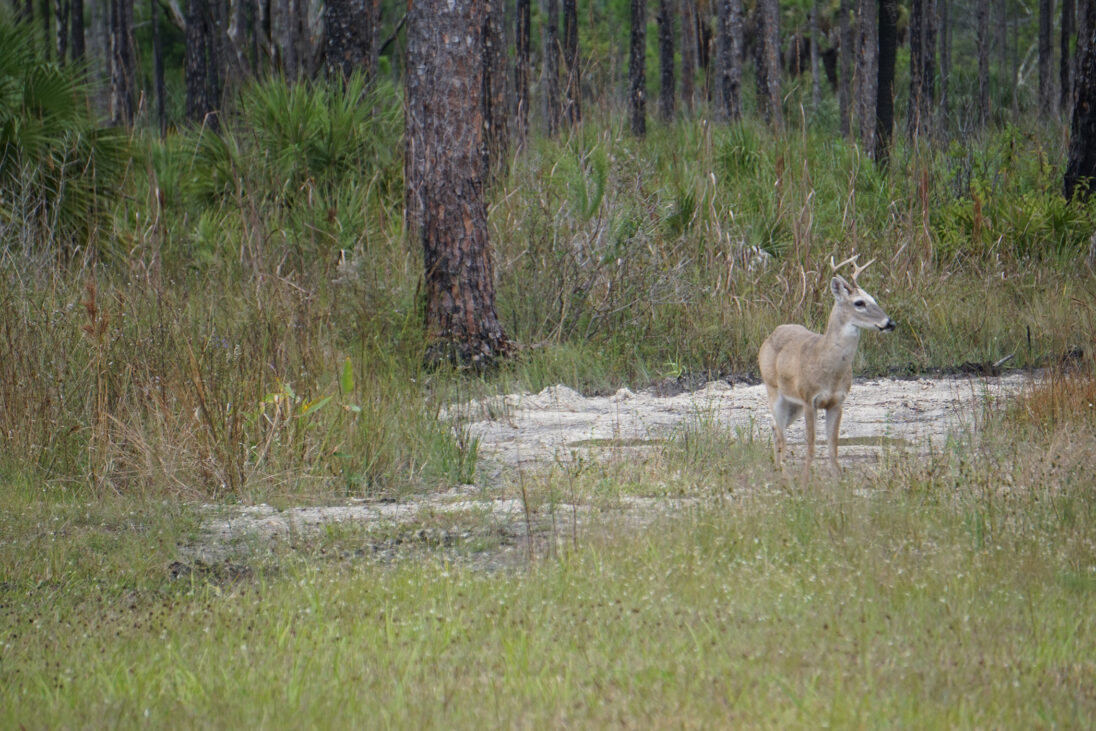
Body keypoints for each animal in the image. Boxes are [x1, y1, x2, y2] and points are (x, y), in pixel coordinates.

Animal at [758, 256, 896, 476]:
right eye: (859, 303)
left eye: (874, 299)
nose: (890, 323)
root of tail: (771, 334)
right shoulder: (809, 399)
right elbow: (811, 445)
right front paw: (806, 479)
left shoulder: (837, 402)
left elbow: (833, 448)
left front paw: (837, 479)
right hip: (774, 390)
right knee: (781, 434)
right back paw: (784, 472)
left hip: (793, 404)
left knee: (774, 427)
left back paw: (778, 469)